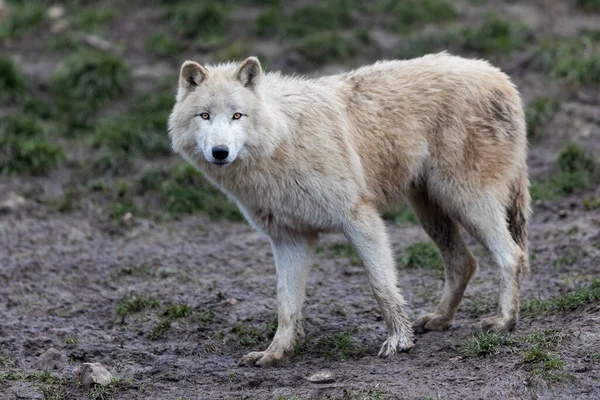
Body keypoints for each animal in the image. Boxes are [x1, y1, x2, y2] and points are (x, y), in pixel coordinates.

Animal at [168, 52, 528, 366]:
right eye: (205, 116)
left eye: (237, 115)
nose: (220, 152)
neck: (283, 139)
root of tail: (500, 76)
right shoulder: (289, 238)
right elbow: (286, 304)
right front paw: (276, 352)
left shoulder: (361, 219)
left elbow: (382, 287)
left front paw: (399, 342)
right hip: (431, 211)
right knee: (464, 263)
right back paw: (441, 318)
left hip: (466, 202)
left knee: (512, 255)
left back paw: (504, 321)